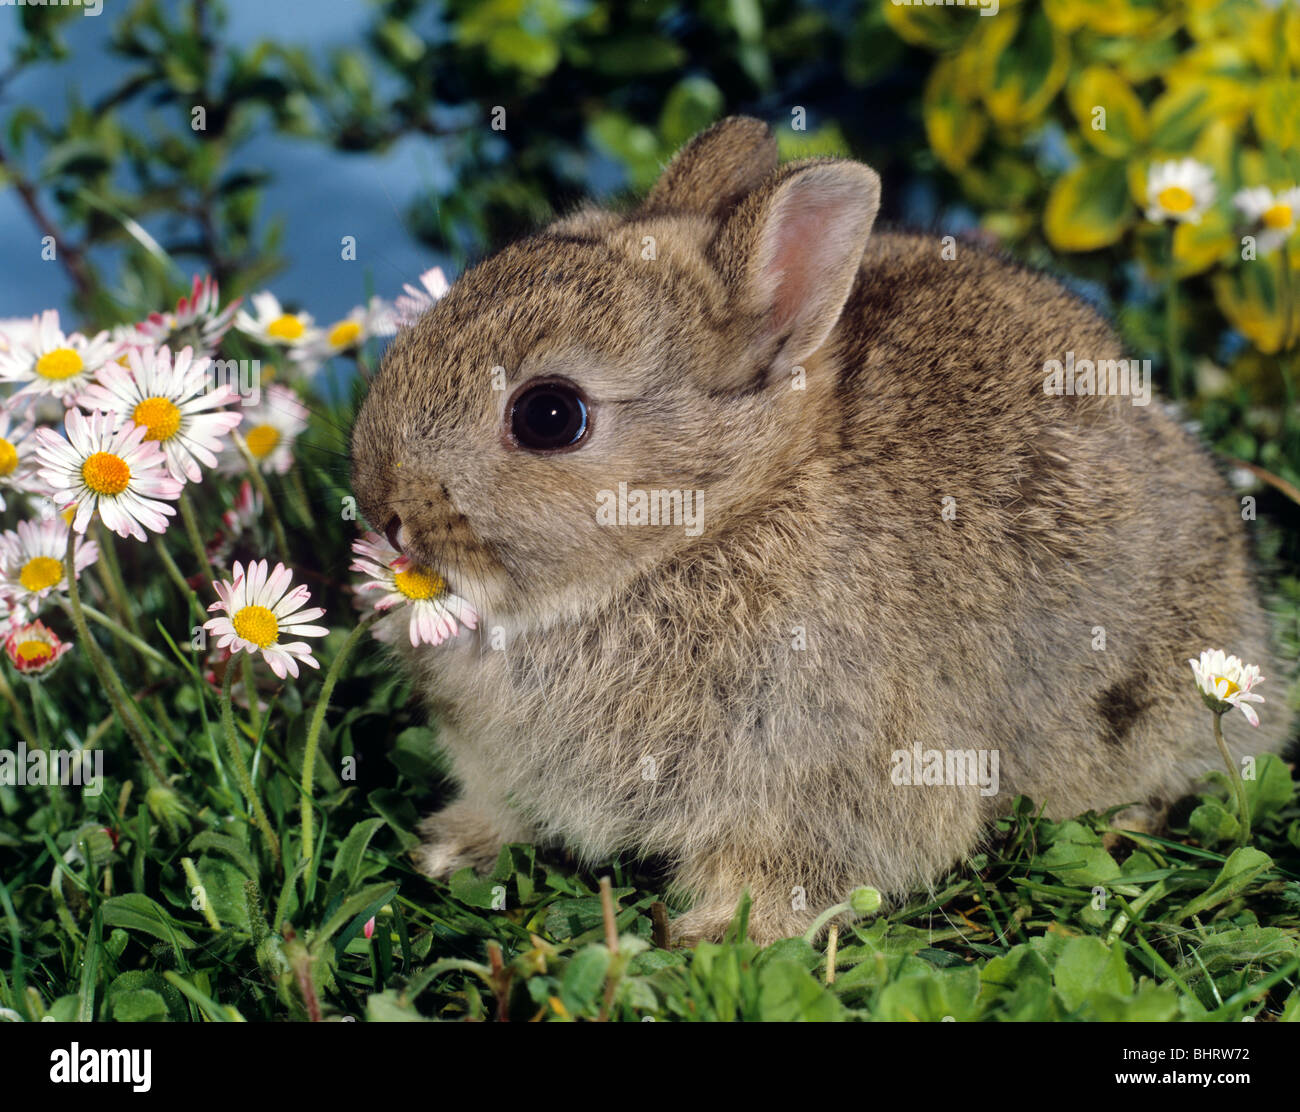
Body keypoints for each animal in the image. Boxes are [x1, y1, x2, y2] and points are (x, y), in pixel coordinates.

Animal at [350, 116, 1291, 945]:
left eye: (550, 415)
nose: (383, 506)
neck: (714, 519)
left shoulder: (825, 780)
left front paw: (712, 938)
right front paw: (453, 849)